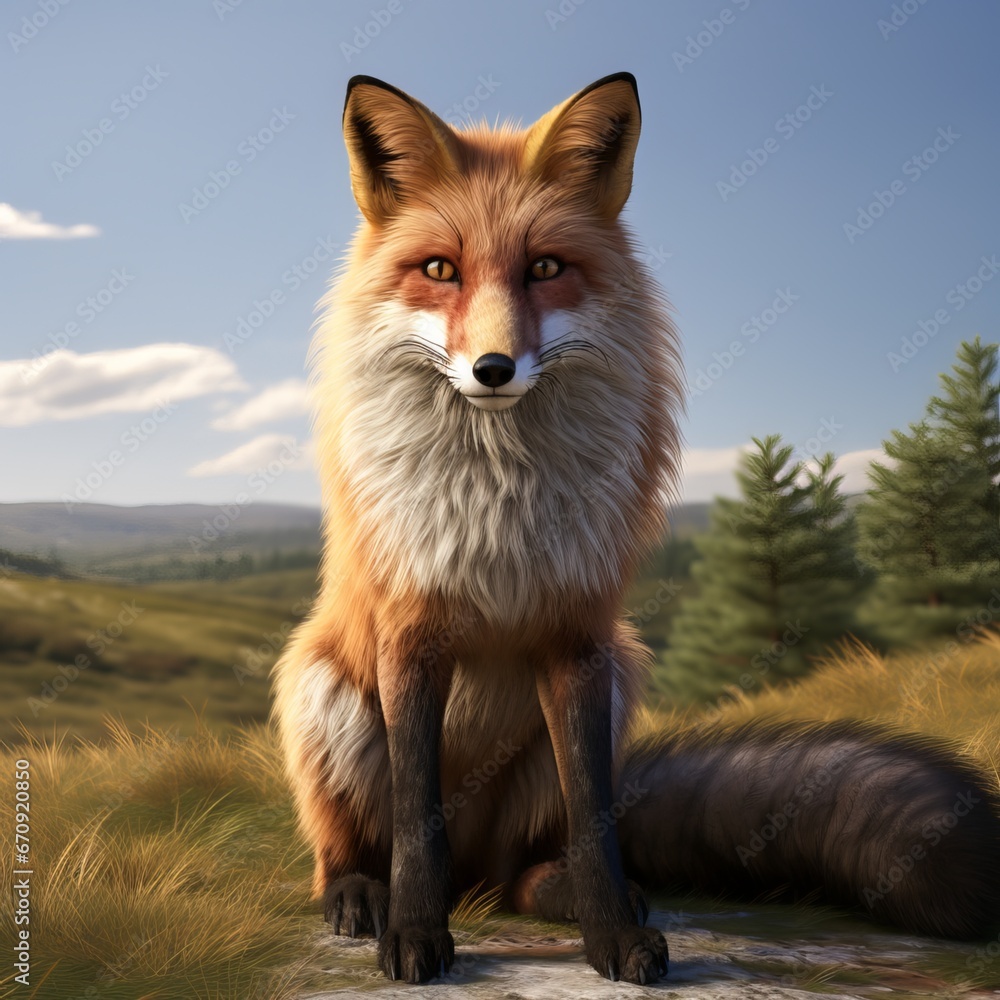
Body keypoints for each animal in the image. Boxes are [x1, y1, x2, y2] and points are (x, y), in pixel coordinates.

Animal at [272, 72, 1000, 985]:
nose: (493, 369)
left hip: (611, 689)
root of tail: (478, 873)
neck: (499, 514)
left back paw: (558, 894)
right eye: (440, 270)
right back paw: (358, 895)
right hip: (322, 694)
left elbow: (596, 820)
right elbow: (415, 820)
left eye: (545, 268)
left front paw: (612, 936)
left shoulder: (581, 639)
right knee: (353, 850)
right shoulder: (410, 635)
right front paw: (412, 932)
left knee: (525, 873)